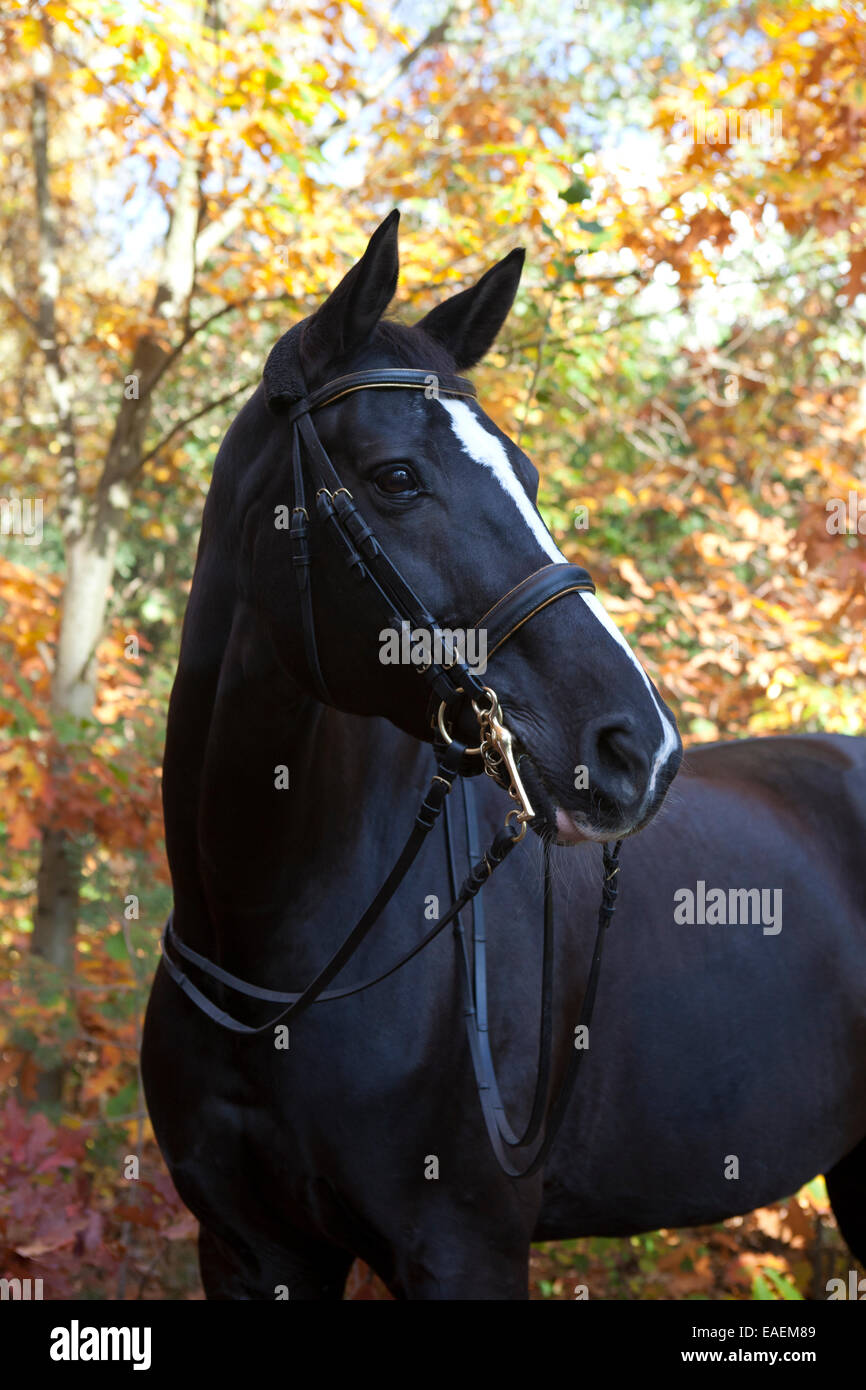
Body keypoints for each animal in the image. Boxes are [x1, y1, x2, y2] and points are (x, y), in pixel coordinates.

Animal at [142, 211, 866, 1299]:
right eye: (397, 477)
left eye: (525, 477)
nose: (637, 746)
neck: (269, 950)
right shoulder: (247, 1250)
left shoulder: (462, 1249)